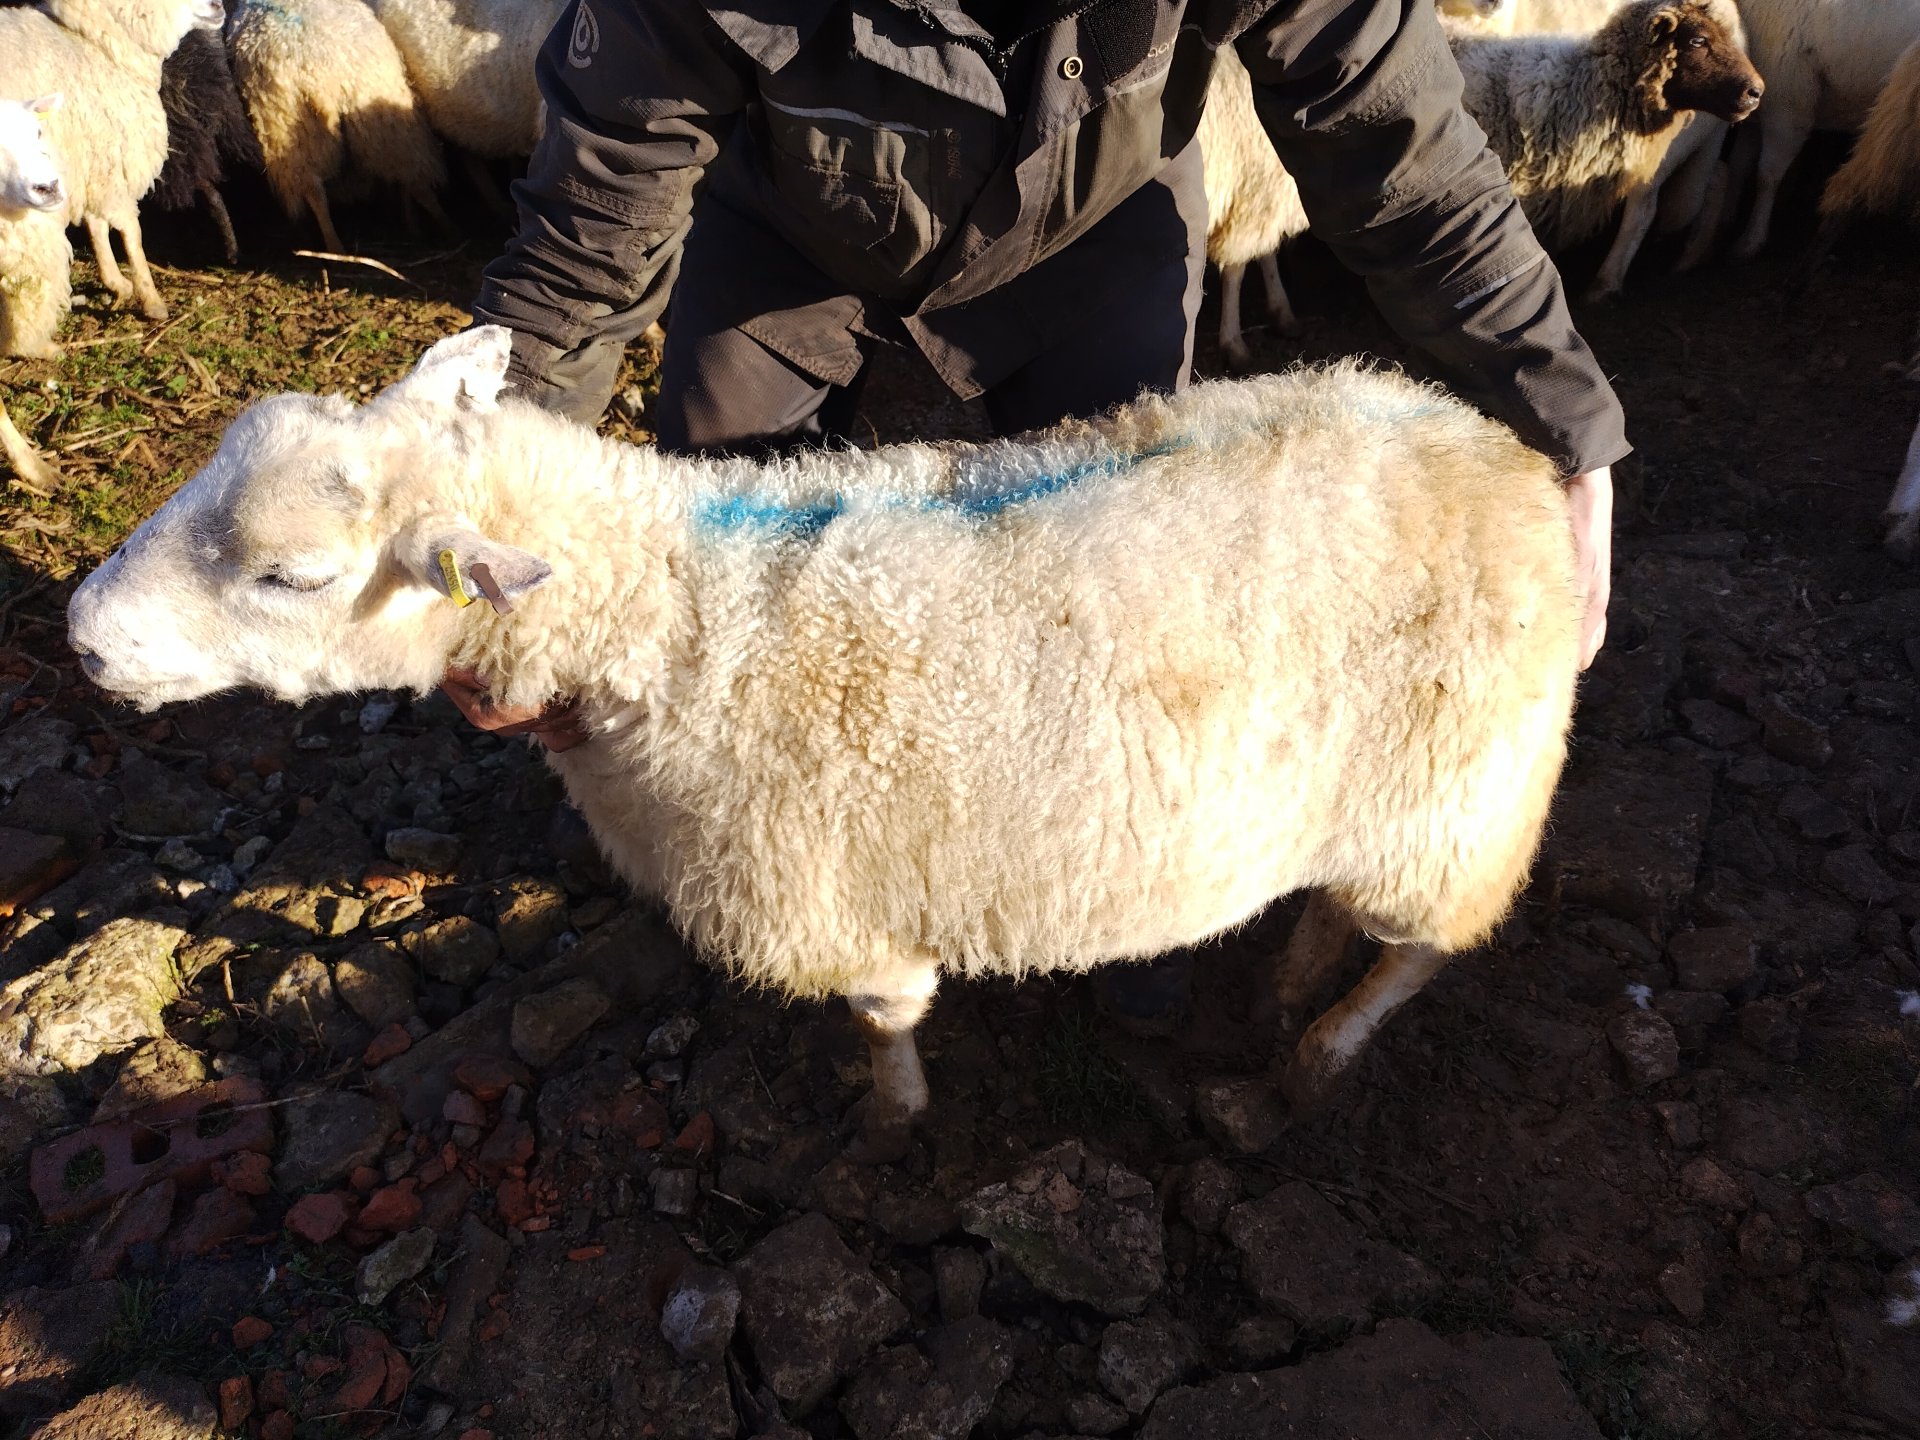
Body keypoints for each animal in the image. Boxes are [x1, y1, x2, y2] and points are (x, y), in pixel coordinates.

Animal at [0, 0, 225, 322]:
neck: (95, 47)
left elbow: (96, 223)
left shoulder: (91, 161)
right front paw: (150, 298)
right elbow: (130, 231)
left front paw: (115, 281)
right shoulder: (113, 157)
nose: (218, 6)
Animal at [68, 327, 1583, 1161]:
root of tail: (1502, 449)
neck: (677, 621)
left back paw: (1316, 1051)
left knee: (1423, 949)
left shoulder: (839, 894)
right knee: (1338, 903)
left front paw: (893, 1120)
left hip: (1464, 798)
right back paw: (1291, 981)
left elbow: (885, 1019)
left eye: (292, 578)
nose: (82, 637)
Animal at [1198, 45, 1307, 370]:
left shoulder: (1262, 189)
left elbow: (1266, 252)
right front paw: (1233, 344)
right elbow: (1237, 270)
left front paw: (1282, 313)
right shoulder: (1254, 189)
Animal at [1726, 0, 1920, 261]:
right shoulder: (1757, 115)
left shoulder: (1788, 109)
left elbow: (1767, 176)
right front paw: (1725, 217)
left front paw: (1752, 240)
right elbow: (1738, 165)